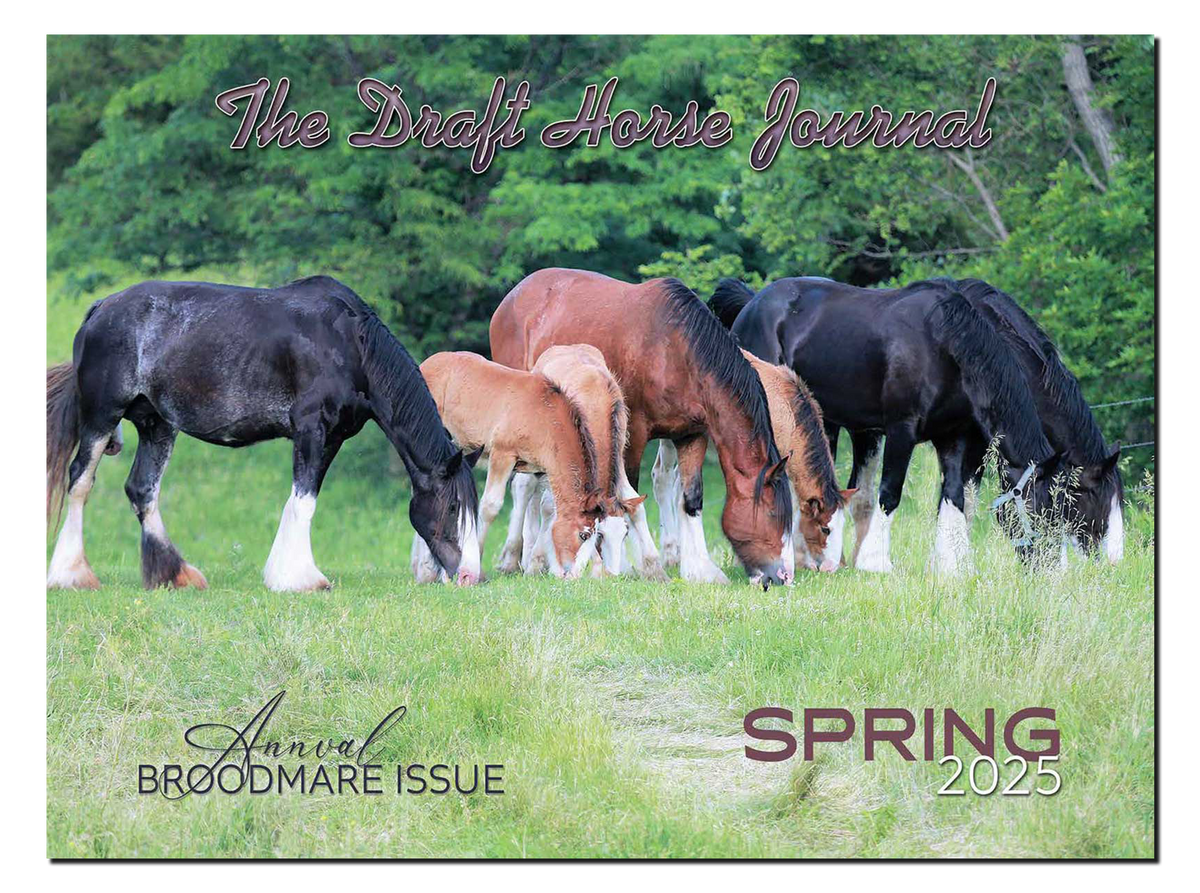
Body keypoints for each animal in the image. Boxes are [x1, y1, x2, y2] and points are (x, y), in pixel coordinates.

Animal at [43, 275, 481, 591]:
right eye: (454, 507)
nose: (470, 576)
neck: (349, 344)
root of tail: (100, 308)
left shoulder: (332, 437)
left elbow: (302, 498)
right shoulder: (310, 430)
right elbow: (304, 502)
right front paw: (300, 578)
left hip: (157, 424)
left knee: (142, 490)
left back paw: (176, 575)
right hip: (102, 418)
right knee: (80, 482)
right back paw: (71, 575)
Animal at [416, 350, 631, 579]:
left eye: (624, 534)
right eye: (584, 535)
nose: (573, 575)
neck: (544, 417)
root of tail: (428, 363)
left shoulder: (542, 470)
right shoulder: (502, 455)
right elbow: (490, 506)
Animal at [495, 344, 648, 578]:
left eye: (625, 533)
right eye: (600, 535)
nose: (613, 575)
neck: (596, 404)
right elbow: (550, 508)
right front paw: (540, 563)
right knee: (524, 488)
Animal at [709, 276, 1058, 575]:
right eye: (1043, 509)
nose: (1052, 568)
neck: (942, 345)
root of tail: (752, 302)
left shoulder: (953, 437)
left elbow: (954, 497)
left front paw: (953, 567)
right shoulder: (902, 429)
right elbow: (890, 492)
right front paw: (876, 561)